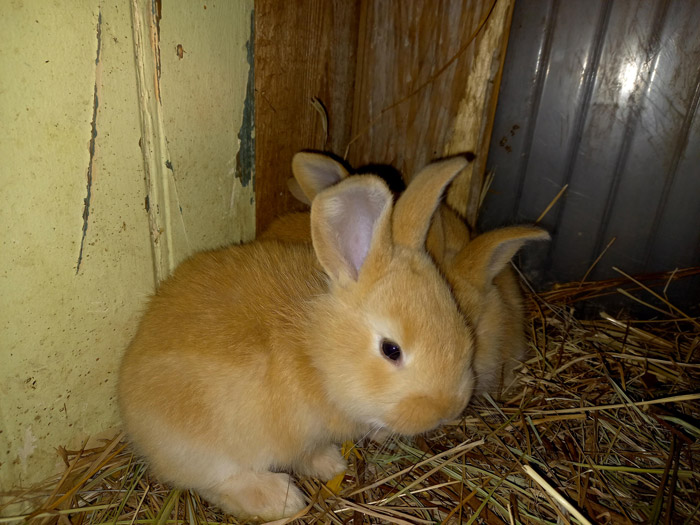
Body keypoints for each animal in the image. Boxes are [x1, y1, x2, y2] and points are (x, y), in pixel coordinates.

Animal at [118, 156, 475, 521]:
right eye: (391, 350)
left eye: (461, 321)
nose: (449, 409)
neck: (312, 352)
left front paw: (333, 464)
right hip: (202, 445)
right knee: (217, 481)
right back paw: (282, 499)